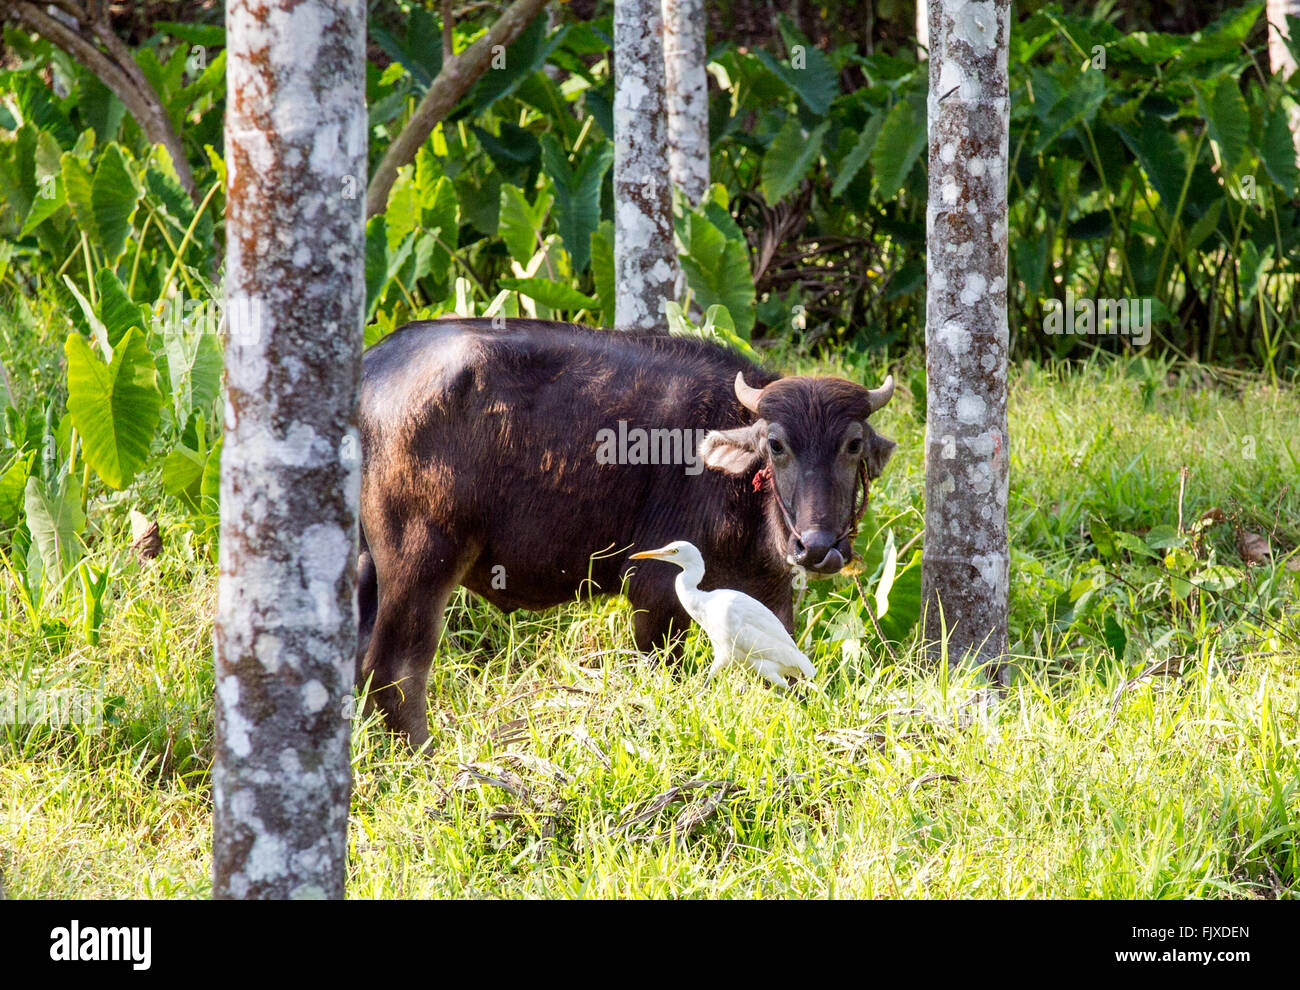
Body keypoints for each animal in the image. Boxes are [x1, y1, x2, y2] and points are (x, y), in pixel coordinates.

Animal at [356, 318, 896, 744]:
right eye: (777, 444)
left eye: (852, 444)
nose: (817, 548)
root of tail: (366, 377)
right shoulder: (655, 596)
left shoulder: (771, 598)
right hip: (421, 559)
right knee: (396, 670)